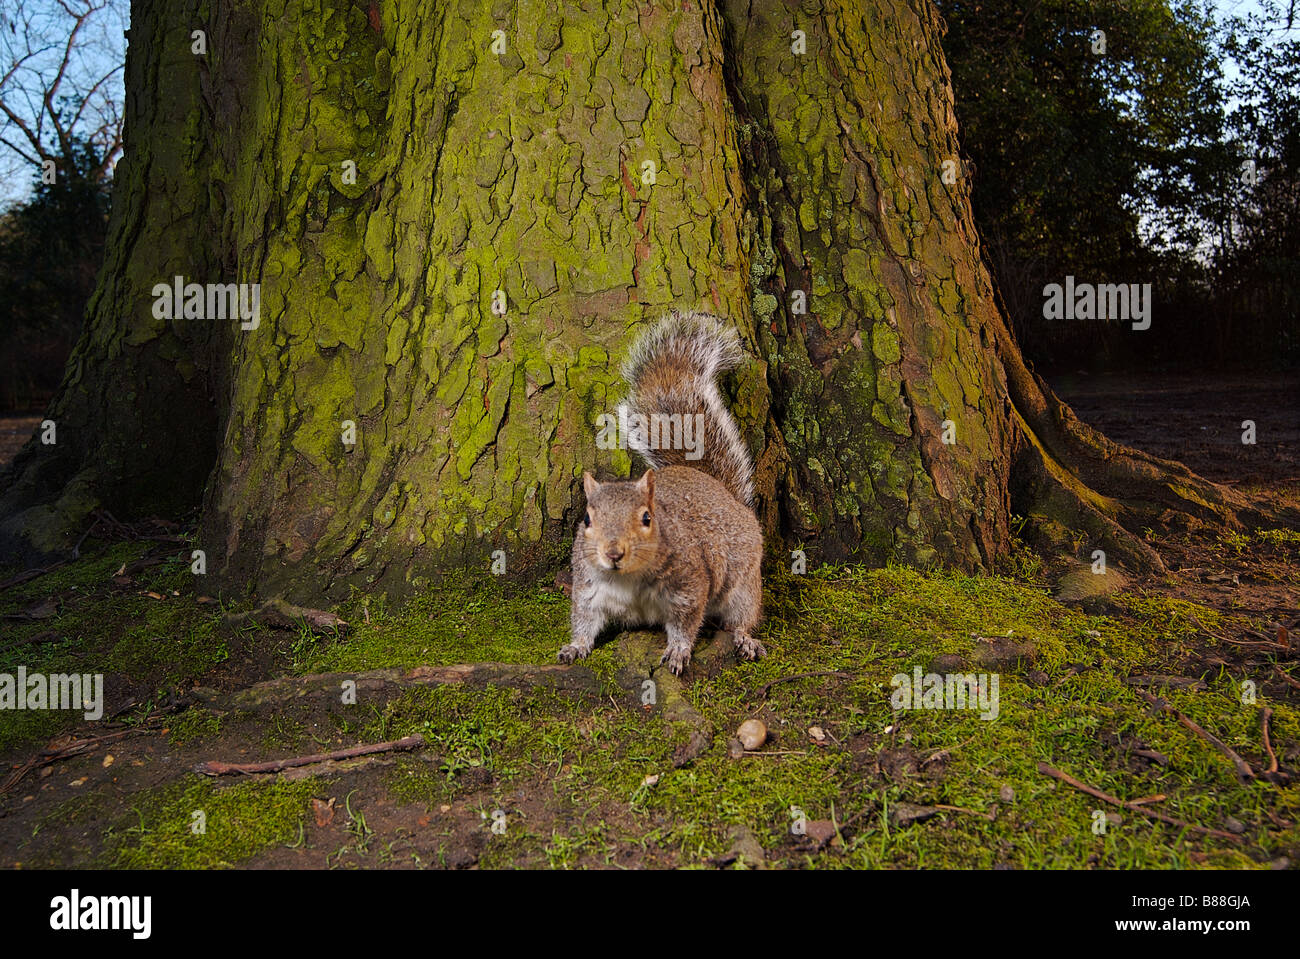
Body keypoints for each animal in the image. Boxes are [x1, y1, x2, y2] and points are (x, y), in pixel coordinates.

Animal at [558, 310, 765, 675]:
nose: (613, 553)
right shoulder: (588, 591)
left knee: (744, 614)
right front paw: (575, 646)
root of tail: (724, 494)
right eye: (586, 519)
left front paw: (679, 651)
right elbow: (584, 621)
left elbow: (686, 624)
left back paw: (744, 637)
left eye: (646, 518)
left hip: (743, 582)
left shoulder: (689, 586)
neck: (627, 580)